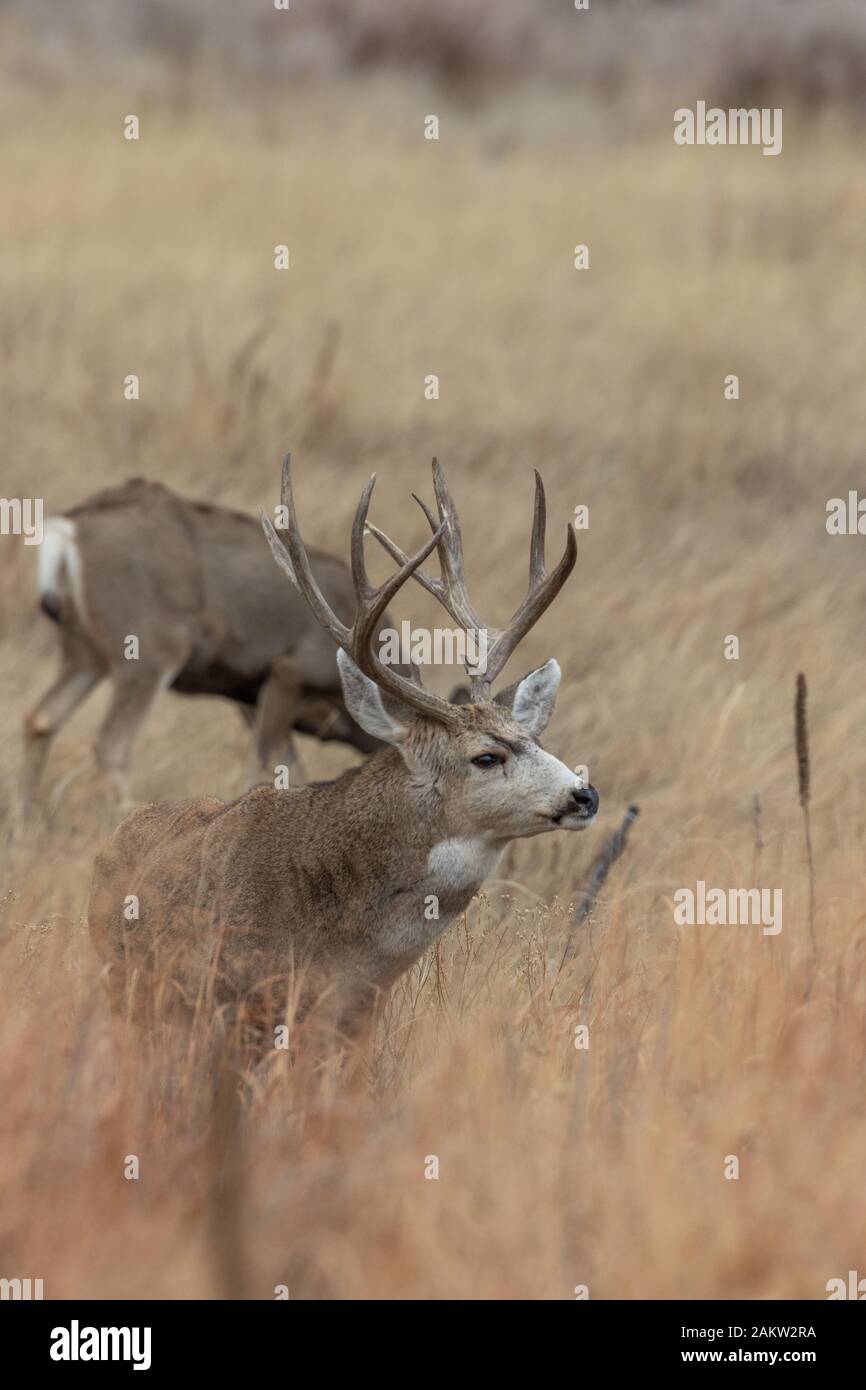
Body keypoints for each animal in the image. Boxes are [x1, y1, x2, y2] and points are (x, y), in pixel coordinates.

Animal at [22, 477, 393, 814]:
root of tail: (68, 530)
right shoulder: (289, 670)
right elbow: (263, 766)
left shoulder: (249, 693)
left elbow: (290, 771)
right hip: (150, 648)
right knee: (112, 744)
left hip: (84, 650)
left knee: (40, 719)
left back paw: (32, 822)